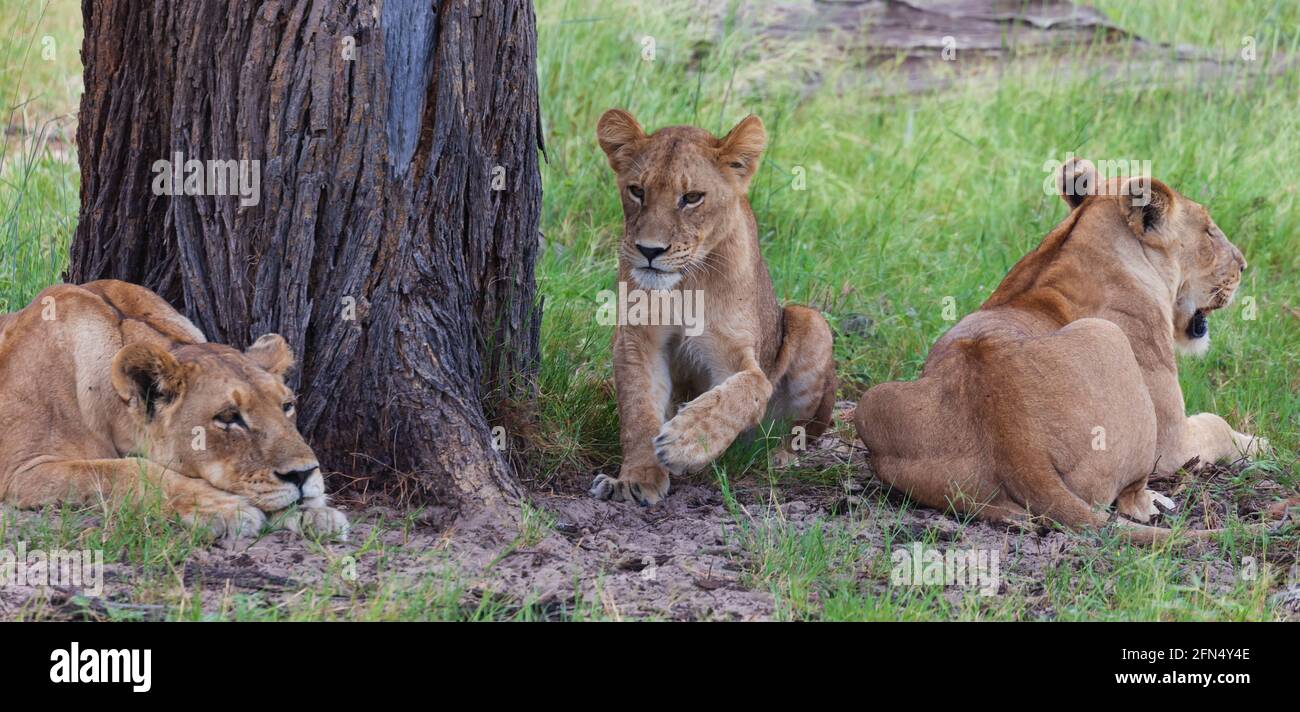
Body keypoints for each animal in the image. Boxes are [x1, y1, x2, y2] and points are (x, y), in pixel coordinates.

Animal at [0, 280, 348, 540]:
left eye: (287, 406)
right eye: (228, 417)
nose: (302, 475)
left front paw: (314, 511)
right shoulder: (21, 469)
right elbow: (127, 470)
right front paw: (222, 507)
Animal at [589, 109, 836, 506]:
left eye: (691, 197)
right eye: (637, 191)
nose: (649, 251)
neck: (685, 284)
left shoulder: (734, 352)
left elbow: (746, 388)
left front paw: (684, 442)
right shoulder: (637, 341)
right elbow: (638, 410)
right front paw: (635, 479)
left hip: (811, 322)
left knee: (797, 434)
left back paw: (778, 456)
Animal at [853, 159, 1270, 544]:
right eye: (1210, 232)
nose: (1244, 265)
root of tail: (1016, 440)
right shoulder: (1171, 439)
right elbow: (1216, 425)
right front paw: (1262, 444)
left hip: (870, 403)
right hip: (1108, 337)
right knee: (1130, 499)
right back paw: (1153, 500)